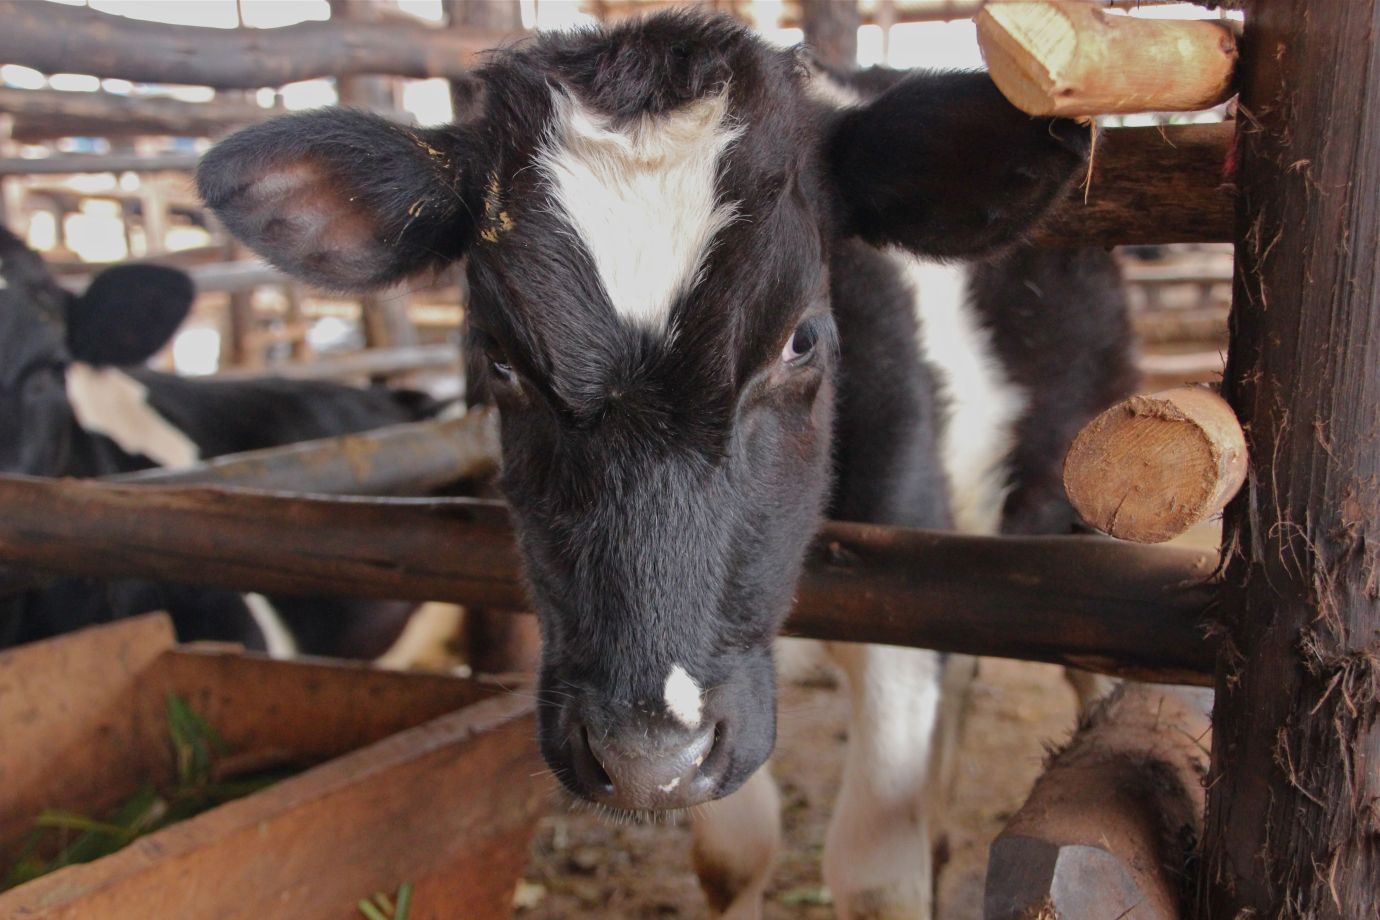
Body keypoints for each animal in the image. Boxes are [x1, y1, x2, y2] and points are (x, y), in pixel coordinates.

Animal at [197, 11, 1134, 917]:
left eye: (801, 338)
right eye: (498, 357)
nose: (646, 758)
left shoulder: (903, 596)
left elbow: (874, 875)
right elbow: (733, 856)